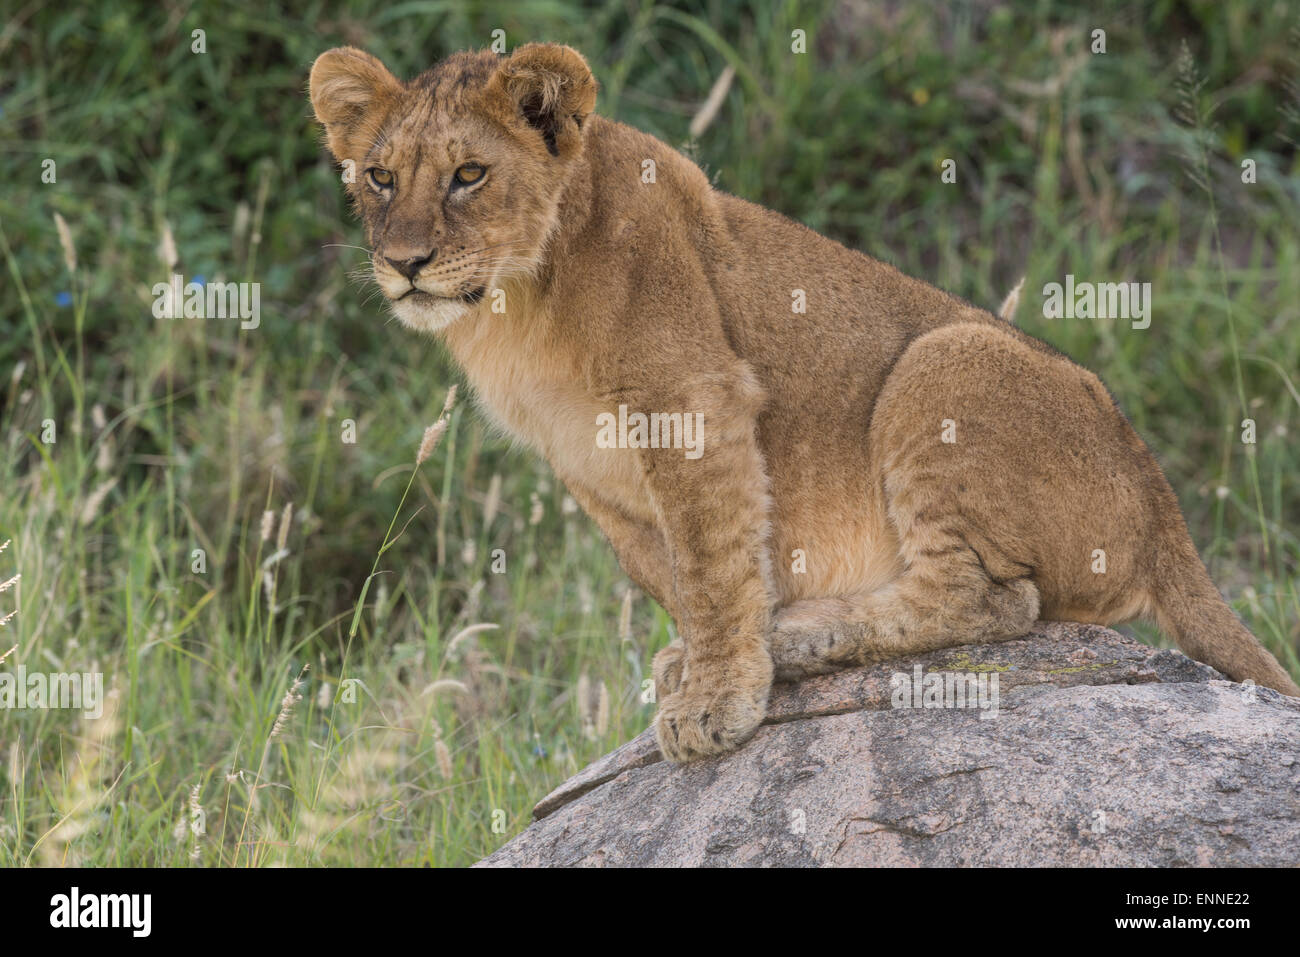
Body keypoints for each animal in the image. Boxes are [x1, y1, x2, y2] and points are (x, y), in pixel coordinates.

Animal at [309, 42, 1299, 762]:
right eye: (380, 178)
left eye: (470, 175)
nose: (403, 262)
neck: (517, 308)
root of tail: (1163, 503)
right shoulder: (588, 470)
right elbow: (676, 574)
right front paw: (697, 661)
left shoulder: (693, 402)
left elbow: (712, 563)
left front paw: (718, 697)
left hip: (943, 360)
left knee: (993, 599)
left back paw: (801, 635)